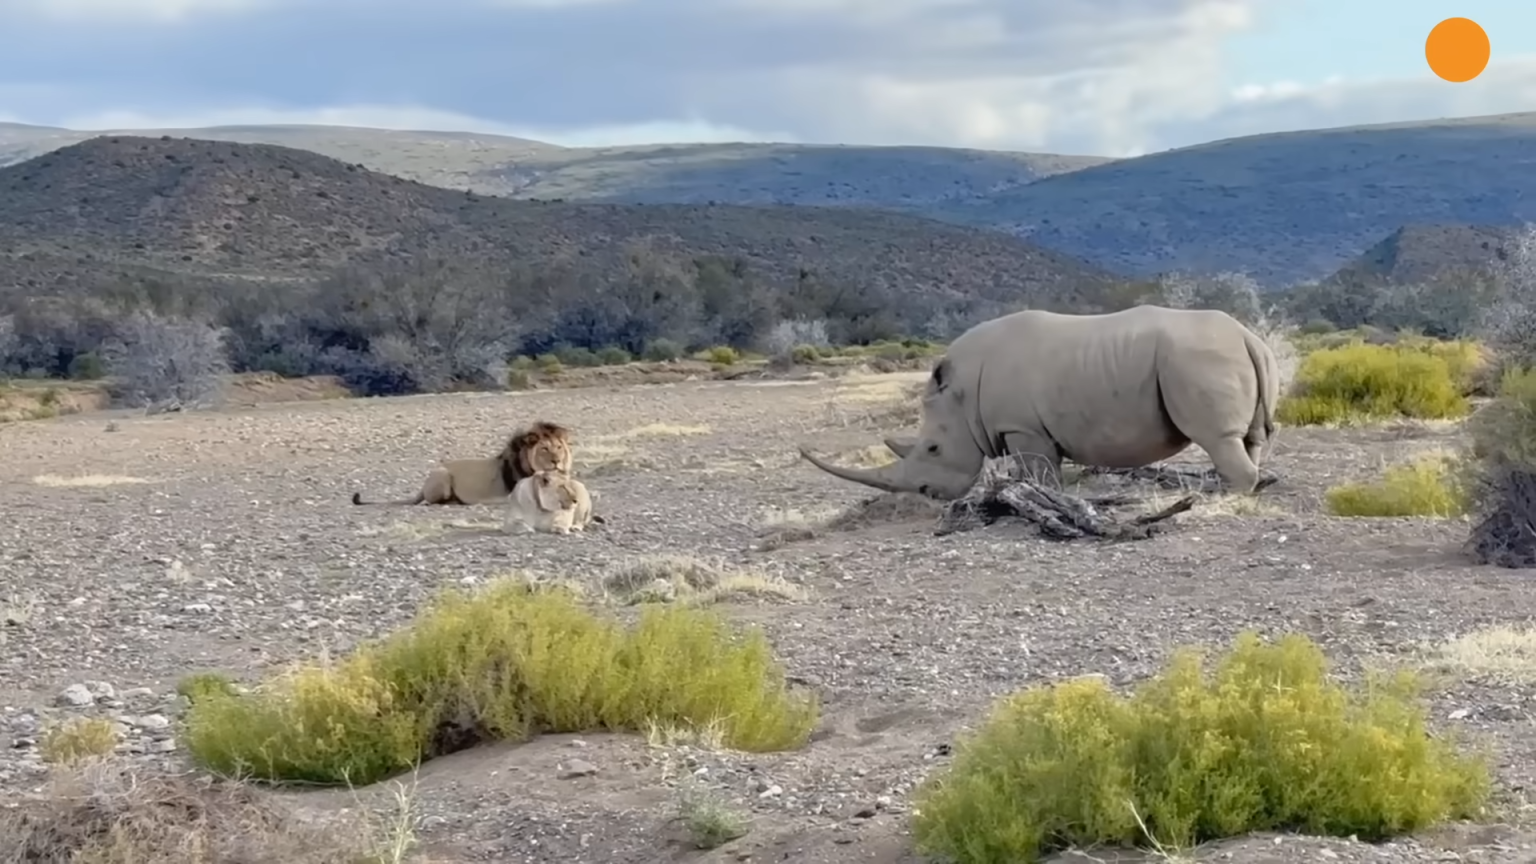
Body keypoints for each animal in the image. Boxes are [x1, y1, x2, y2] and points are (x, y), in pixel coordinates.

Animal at [351, 421, 574, 506]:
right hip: (442, 475)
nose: (556, 461)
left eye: (559, 447)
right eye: (544, 449)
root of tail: (424, 484)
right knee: (431, 502)